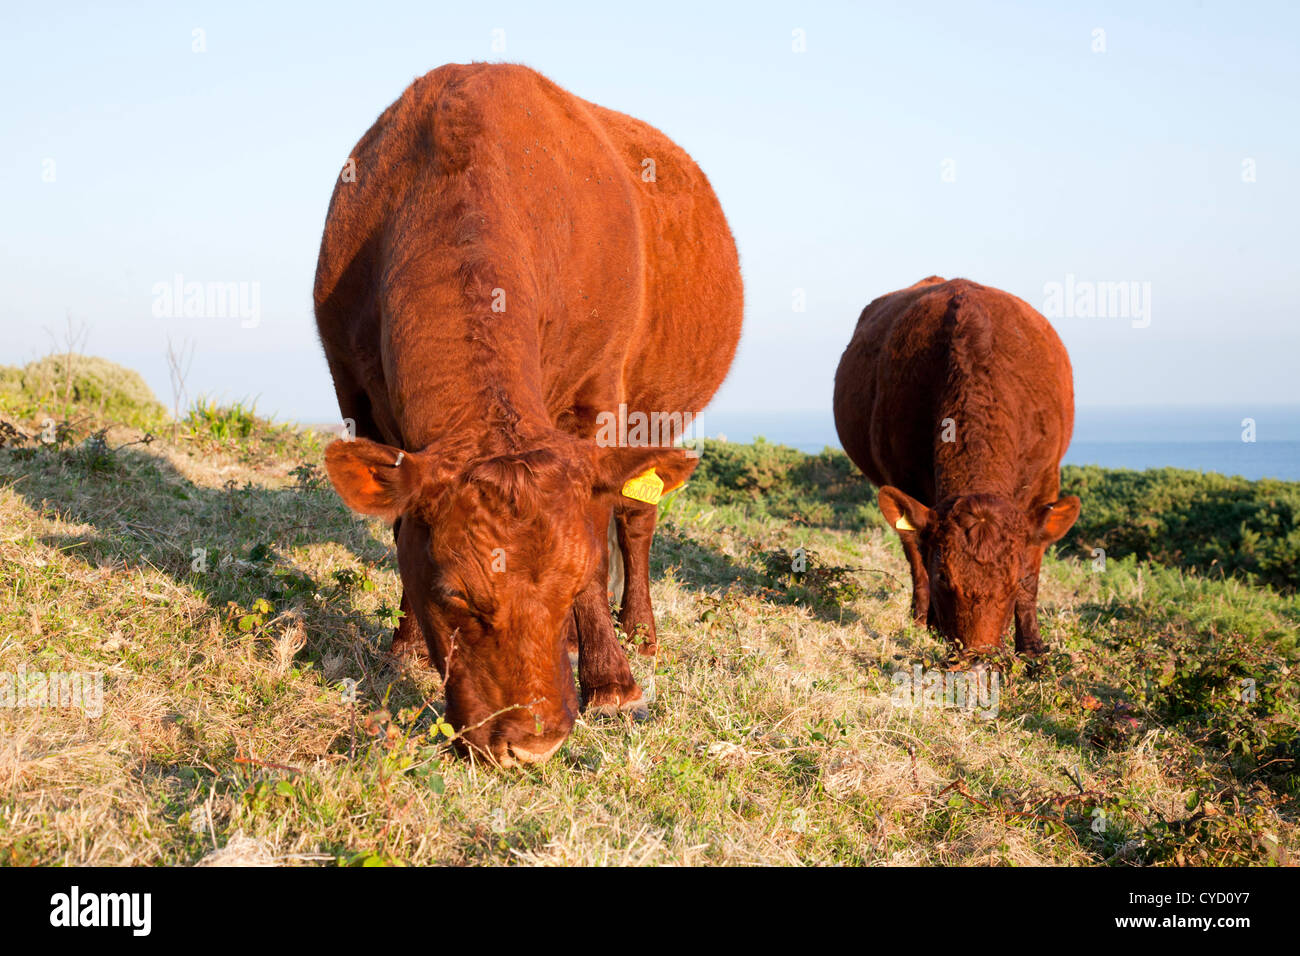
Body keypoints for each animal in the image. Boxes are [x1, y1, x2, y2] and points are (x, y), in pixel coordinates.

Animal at [313, 64, 742, 767]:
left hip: (658, 413)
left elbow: (600, 538)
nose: (534, 744)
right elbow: (400, 529)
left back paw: (638, 632)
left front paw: (611, 680)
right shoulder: (356, 395)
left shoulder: (599, 400)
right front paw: (404, 646)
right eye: (455, 597)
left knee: (637, 517)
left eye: (568, 586)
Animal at [832, 277, 1080, 656]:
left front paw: (1032, 646)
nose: (978, 656)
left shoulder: (1045, 483)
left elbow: (1032, 575)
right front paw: (927, 623)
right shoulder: (902, 481)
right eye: (944, 578)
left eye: (1011, 582)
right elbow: (917, 560)